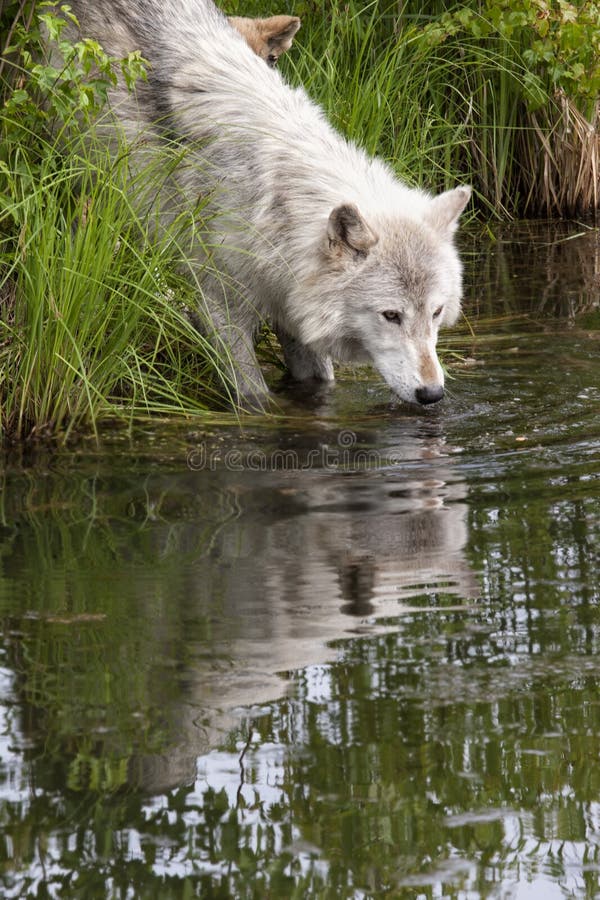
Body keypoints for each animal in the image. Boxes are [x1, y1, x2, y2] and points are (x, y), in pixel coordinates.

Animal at [60, 0, 470, 408]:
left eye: (436, 312)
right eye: (391, 315)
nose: (433, 393)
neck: (274, 207)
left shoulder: (293, 309)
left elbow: (321, 379)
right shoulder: (220, 305)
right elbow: (253, 396)